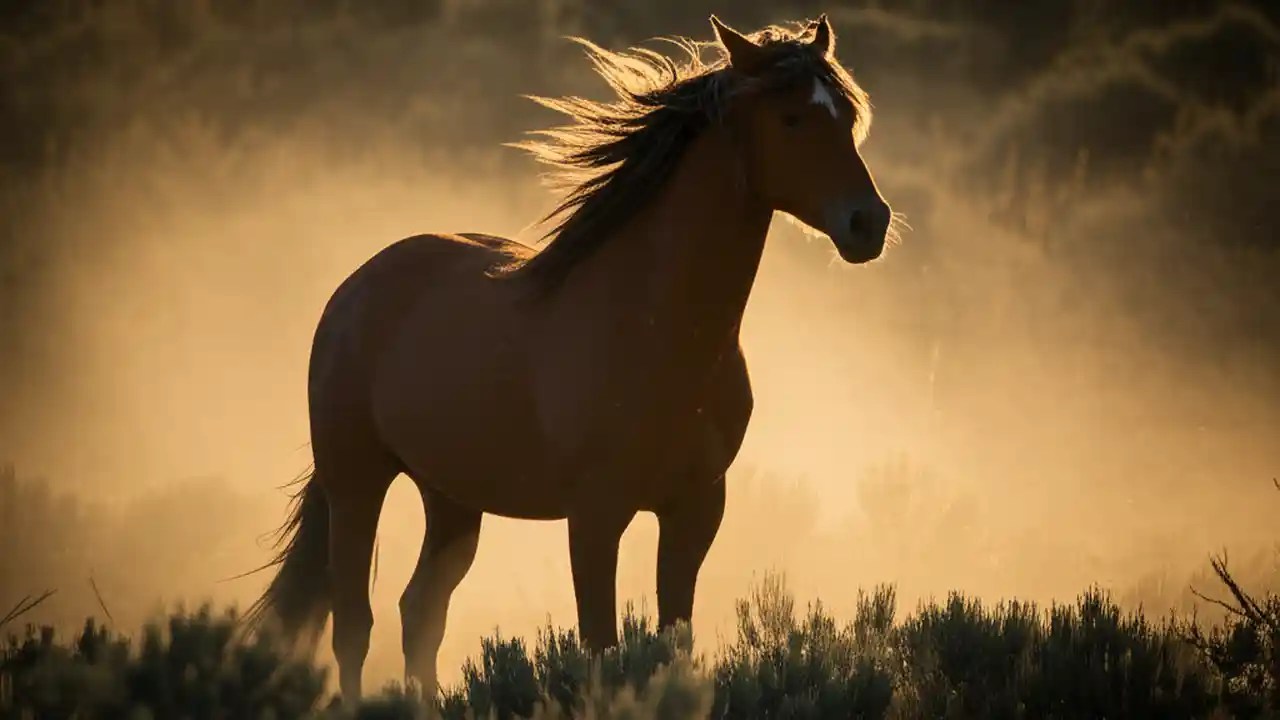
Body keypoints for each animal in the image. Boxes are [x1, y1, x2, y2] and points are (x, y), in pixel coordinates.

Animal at [244, 13, 893, 703]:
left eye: (848, 119)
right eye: (791, 119)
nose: (869, 224)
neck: (657, 331)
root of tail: (355, 289)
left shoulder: (694, 512)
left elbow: (673, 645)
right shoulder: (595, 517)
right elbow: (600, 648)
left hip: (451, 499)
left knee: (420, 612)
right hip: (357, 483)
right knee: (354, 627)